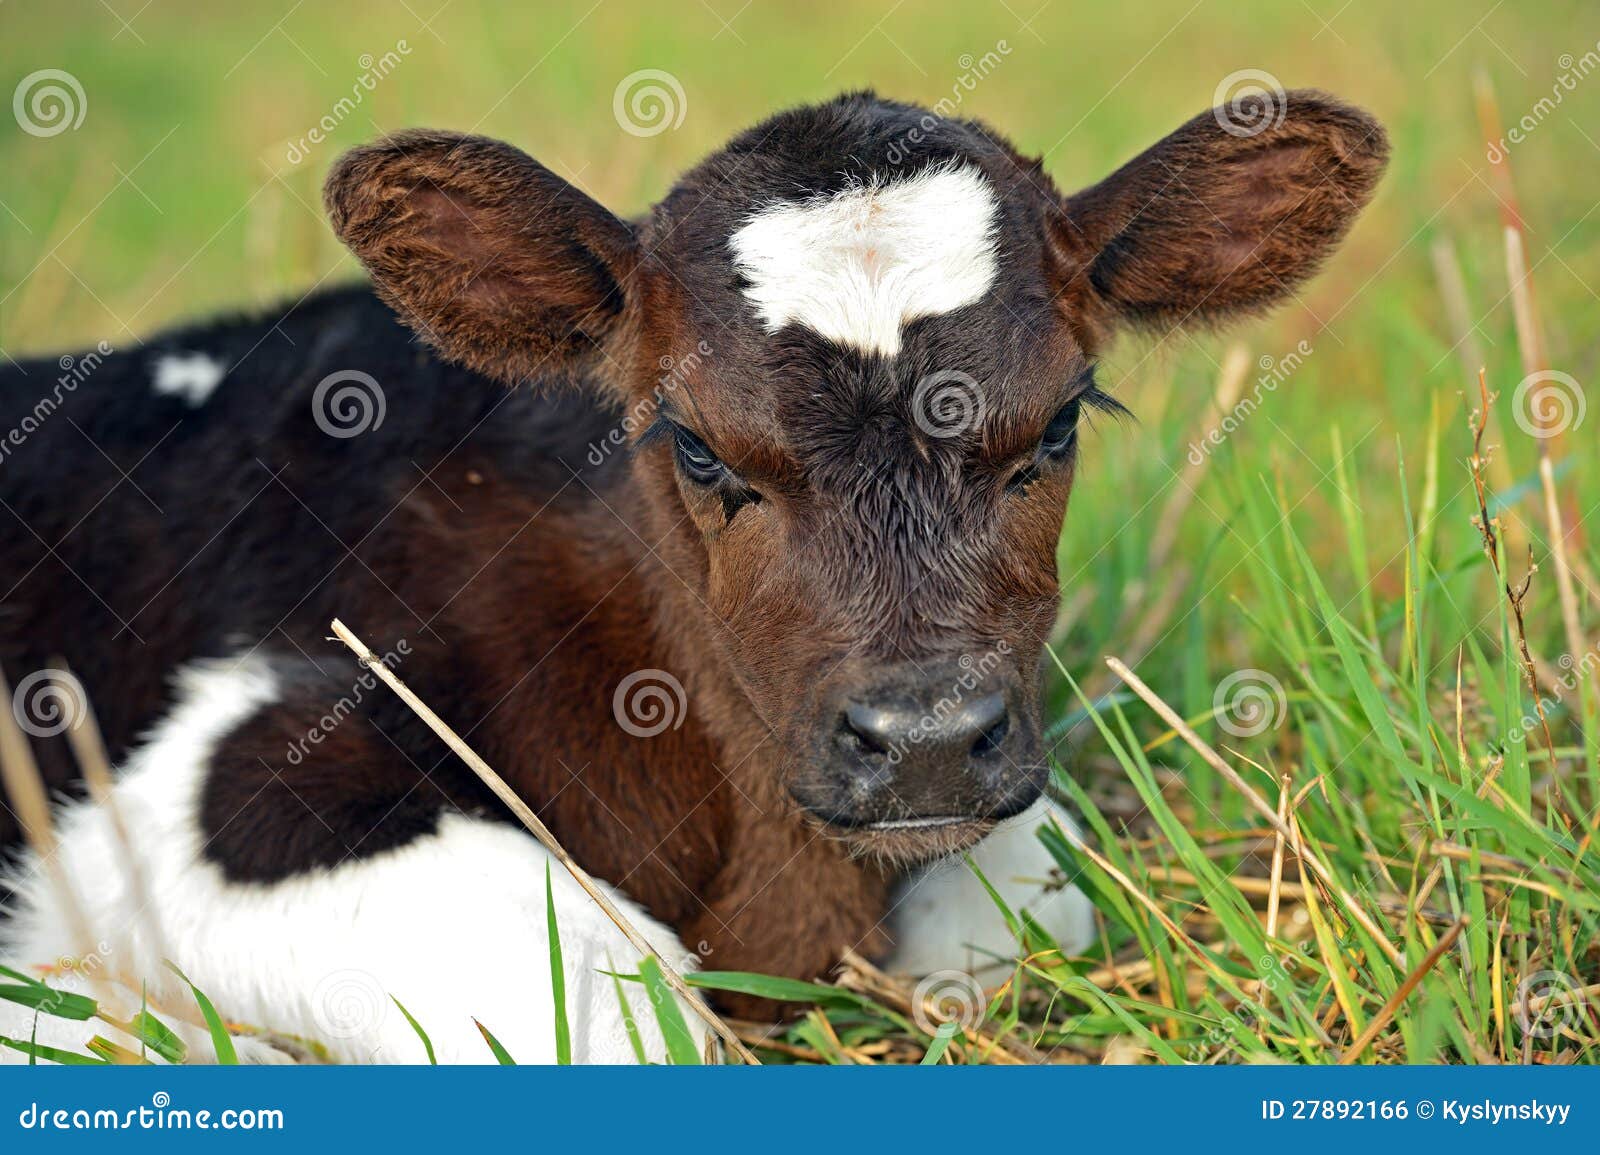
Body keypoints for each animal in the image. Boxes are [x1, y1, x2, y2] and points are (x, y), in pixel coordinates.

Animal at [0, 89, 1386, 1062]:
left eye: (1057, 424)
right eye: (698, 445)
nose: (927, 743)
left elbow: (1027, 910)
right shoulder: (206, 782)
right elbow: (627, 1005)